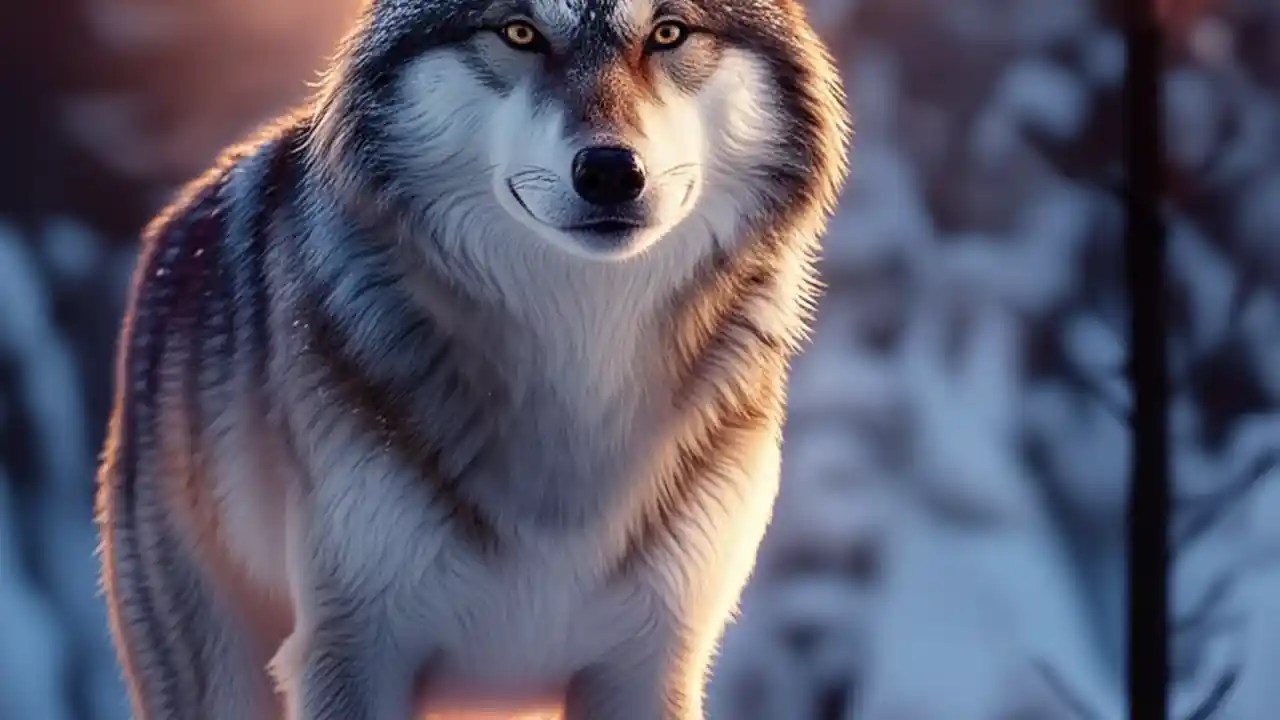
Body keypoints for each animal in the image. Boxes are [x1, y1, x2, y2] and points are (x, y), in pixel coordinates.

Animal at [96, 0, 850, 717]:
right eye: (519, 32)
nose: (611, 171)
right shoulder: (354, 649)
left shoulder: (650, 664)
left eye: (668, 33)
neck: (578, 366)